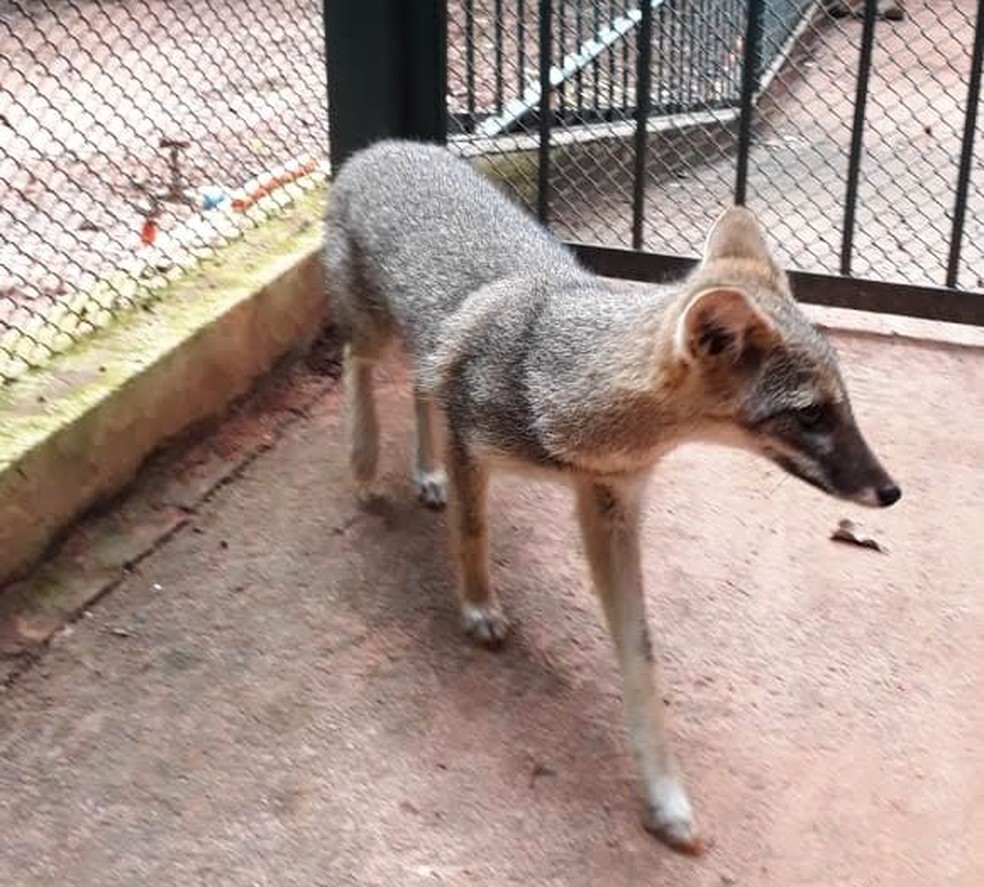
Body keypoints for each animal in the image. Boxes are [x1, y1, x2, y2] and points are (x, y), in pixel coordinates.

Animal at [323, 139, 901, 854]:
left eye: (843, 406)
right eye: (812, 415)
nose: (892, 491)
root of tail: (384, 147)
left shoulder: (610, 502)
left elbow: (639, 657)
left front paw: (664, 794)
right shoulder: (474, 446)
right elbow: (472, 532)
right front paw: (479, 606)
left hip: (423, 353)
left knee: (416, 386)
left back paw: (423, 474)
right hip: (376, 333)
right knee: (356, 362)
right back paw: (365, 459)